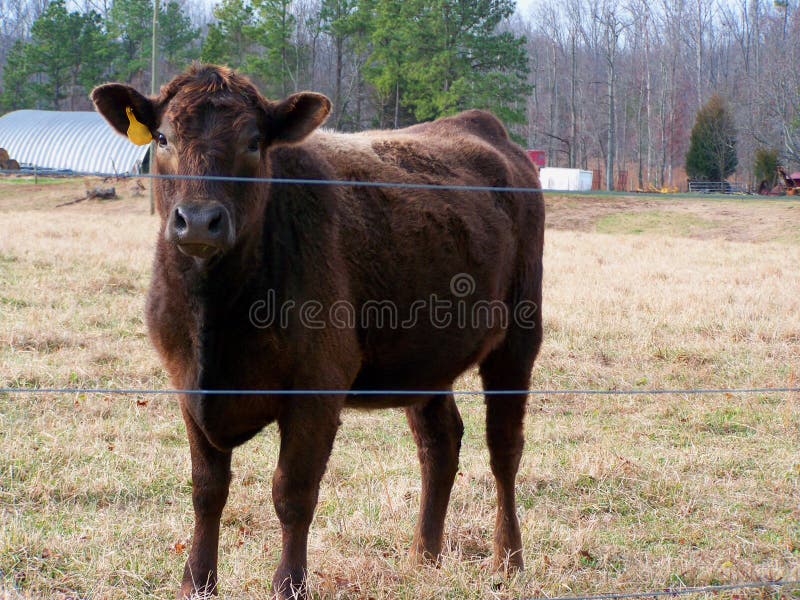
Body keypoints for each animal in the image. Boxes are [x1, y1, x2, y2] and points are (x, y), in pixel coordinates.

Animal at [91, 64, 544, 599]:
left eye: (254, 142)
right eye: (163, 137)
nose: (199, 220)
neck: (215, 316)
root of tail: (482, 125)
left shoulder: (317, 386)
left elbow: (293, 492)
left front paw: (289, 585)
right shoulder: (186, 385)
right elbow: (207, 489)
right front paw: (197, 582)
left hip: (519, 336)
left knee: (504, 449)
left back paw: (508, 560)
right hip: (425, 358)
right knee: (439, 444)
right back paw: (424, 556)